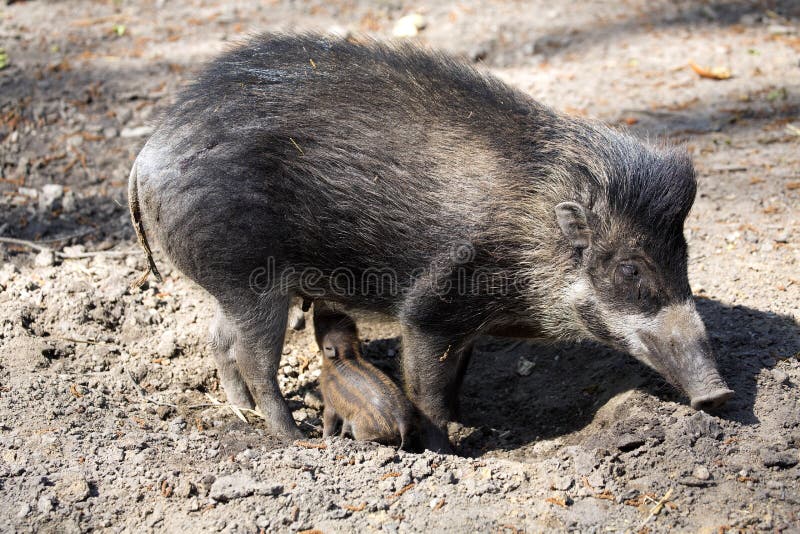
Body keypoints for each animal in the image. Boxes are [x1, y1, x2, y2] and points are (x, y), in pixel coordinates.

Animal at [314, 305, 413, 448]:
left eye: (322, 327)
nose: (321, 309)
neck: (346, 357)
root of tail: (401, 424)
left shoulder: (329, 402)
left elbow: (328, 422)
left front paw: (324, 438)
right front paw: (341, 436)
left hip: (362, 429)